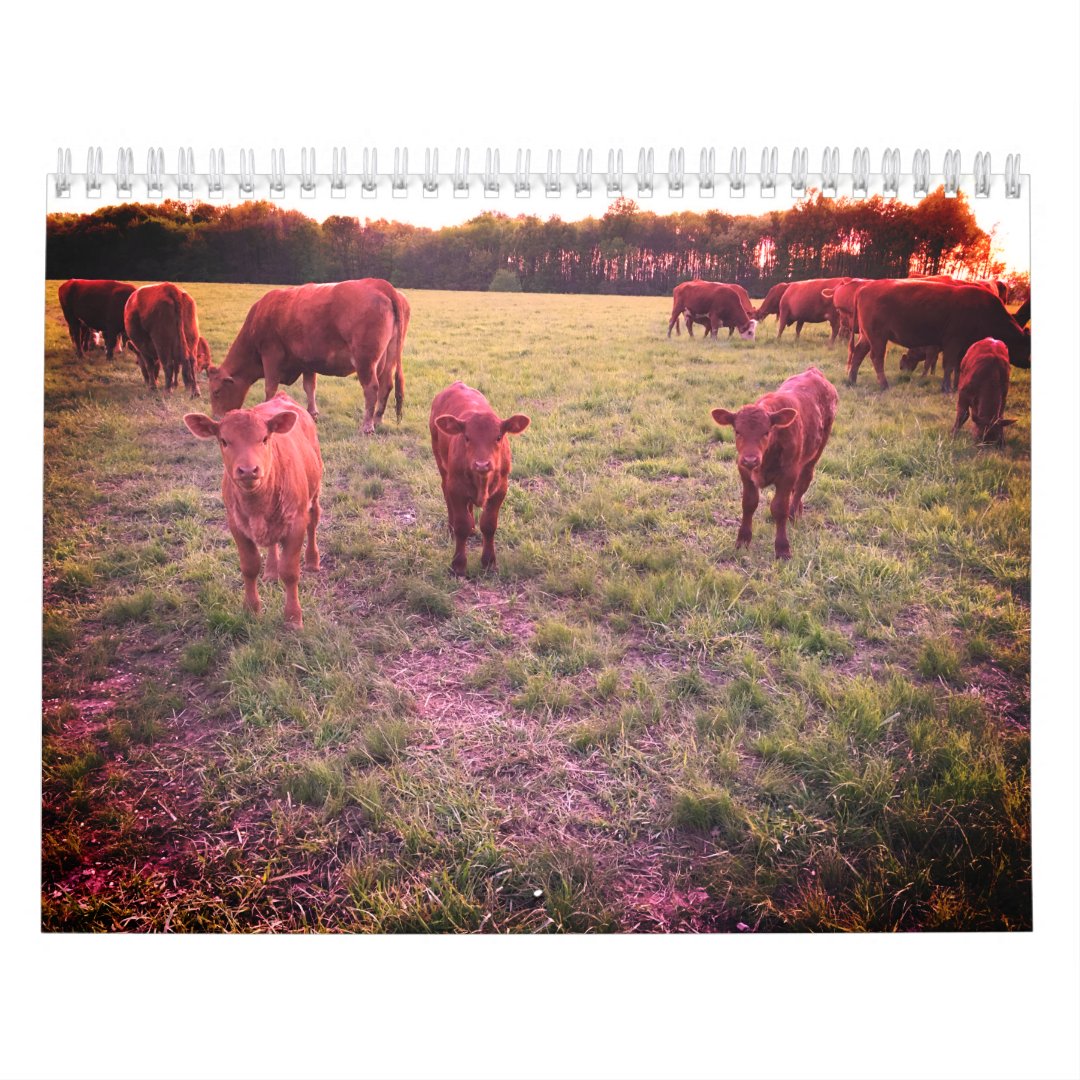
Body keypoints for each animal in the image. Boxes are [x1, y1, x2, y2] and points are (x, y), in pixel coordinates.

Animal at [183, 393, 323, 628]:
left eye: (265, 439)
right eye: (224, 441)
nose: (248, 470)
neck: (257, 506)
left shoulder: (296, 524)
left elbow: (290, 572)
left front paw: (293, 617)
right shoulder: (236, 525)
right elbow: (249, 567)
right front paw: (251, 609)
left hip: (314, 492)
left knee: (313, 522)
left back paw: (313, 561)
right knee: (273, 544)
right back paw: (271, 571)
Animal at [207, 279, 406, 434]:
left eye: (216, 392)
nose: (216, 418)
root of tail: (378, 283)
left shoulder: (270, 355)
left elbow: (270, 388)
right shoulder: (307, 362)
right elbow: (309, 387)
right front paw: (312, 413)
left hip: (365, 360)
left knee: (371, 388)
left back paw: (367, 426)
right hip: (388, 359)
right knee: (386, 385)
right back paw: (378, 420)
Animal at [429, 381, 530, 576]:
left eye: (498, 437)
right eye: (467, 437)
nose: (482, 464)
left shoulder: (501, 489)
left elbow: (489, 525)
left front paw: (489, 562)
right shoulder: (456, 488)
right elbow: (461, 525)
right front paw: (458, 564)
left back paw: (472, 529)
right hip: (441, 462)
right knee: (445, 491)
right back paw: (451, 528)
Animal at [710, 367, 837, 561]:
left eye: (766, 432)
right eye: (737, 431)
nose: (750, 459)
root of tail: (813, 371)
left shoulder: (788, 474)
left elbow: (779, 508)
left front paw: (782, 548)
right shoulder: (744, 471)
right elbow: (749, 503)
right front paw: (743, 540)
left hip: (815, 452)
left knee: (803, 483)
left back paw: (793, 514)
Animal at [848, 279, 1031, 391]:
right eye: (1026, 346)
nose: (1029, 363)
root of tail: (865, 288)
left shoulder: (962, 347)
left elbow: (958, 366)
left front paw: (956, 386)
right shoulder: (952, 343)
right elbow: (948, 365)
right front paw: (947, 388)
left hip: (867, 337)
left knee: (858, 354)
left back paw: (852, 380)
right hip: (878, 337)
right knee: (877, 357)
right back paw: (884, 385)